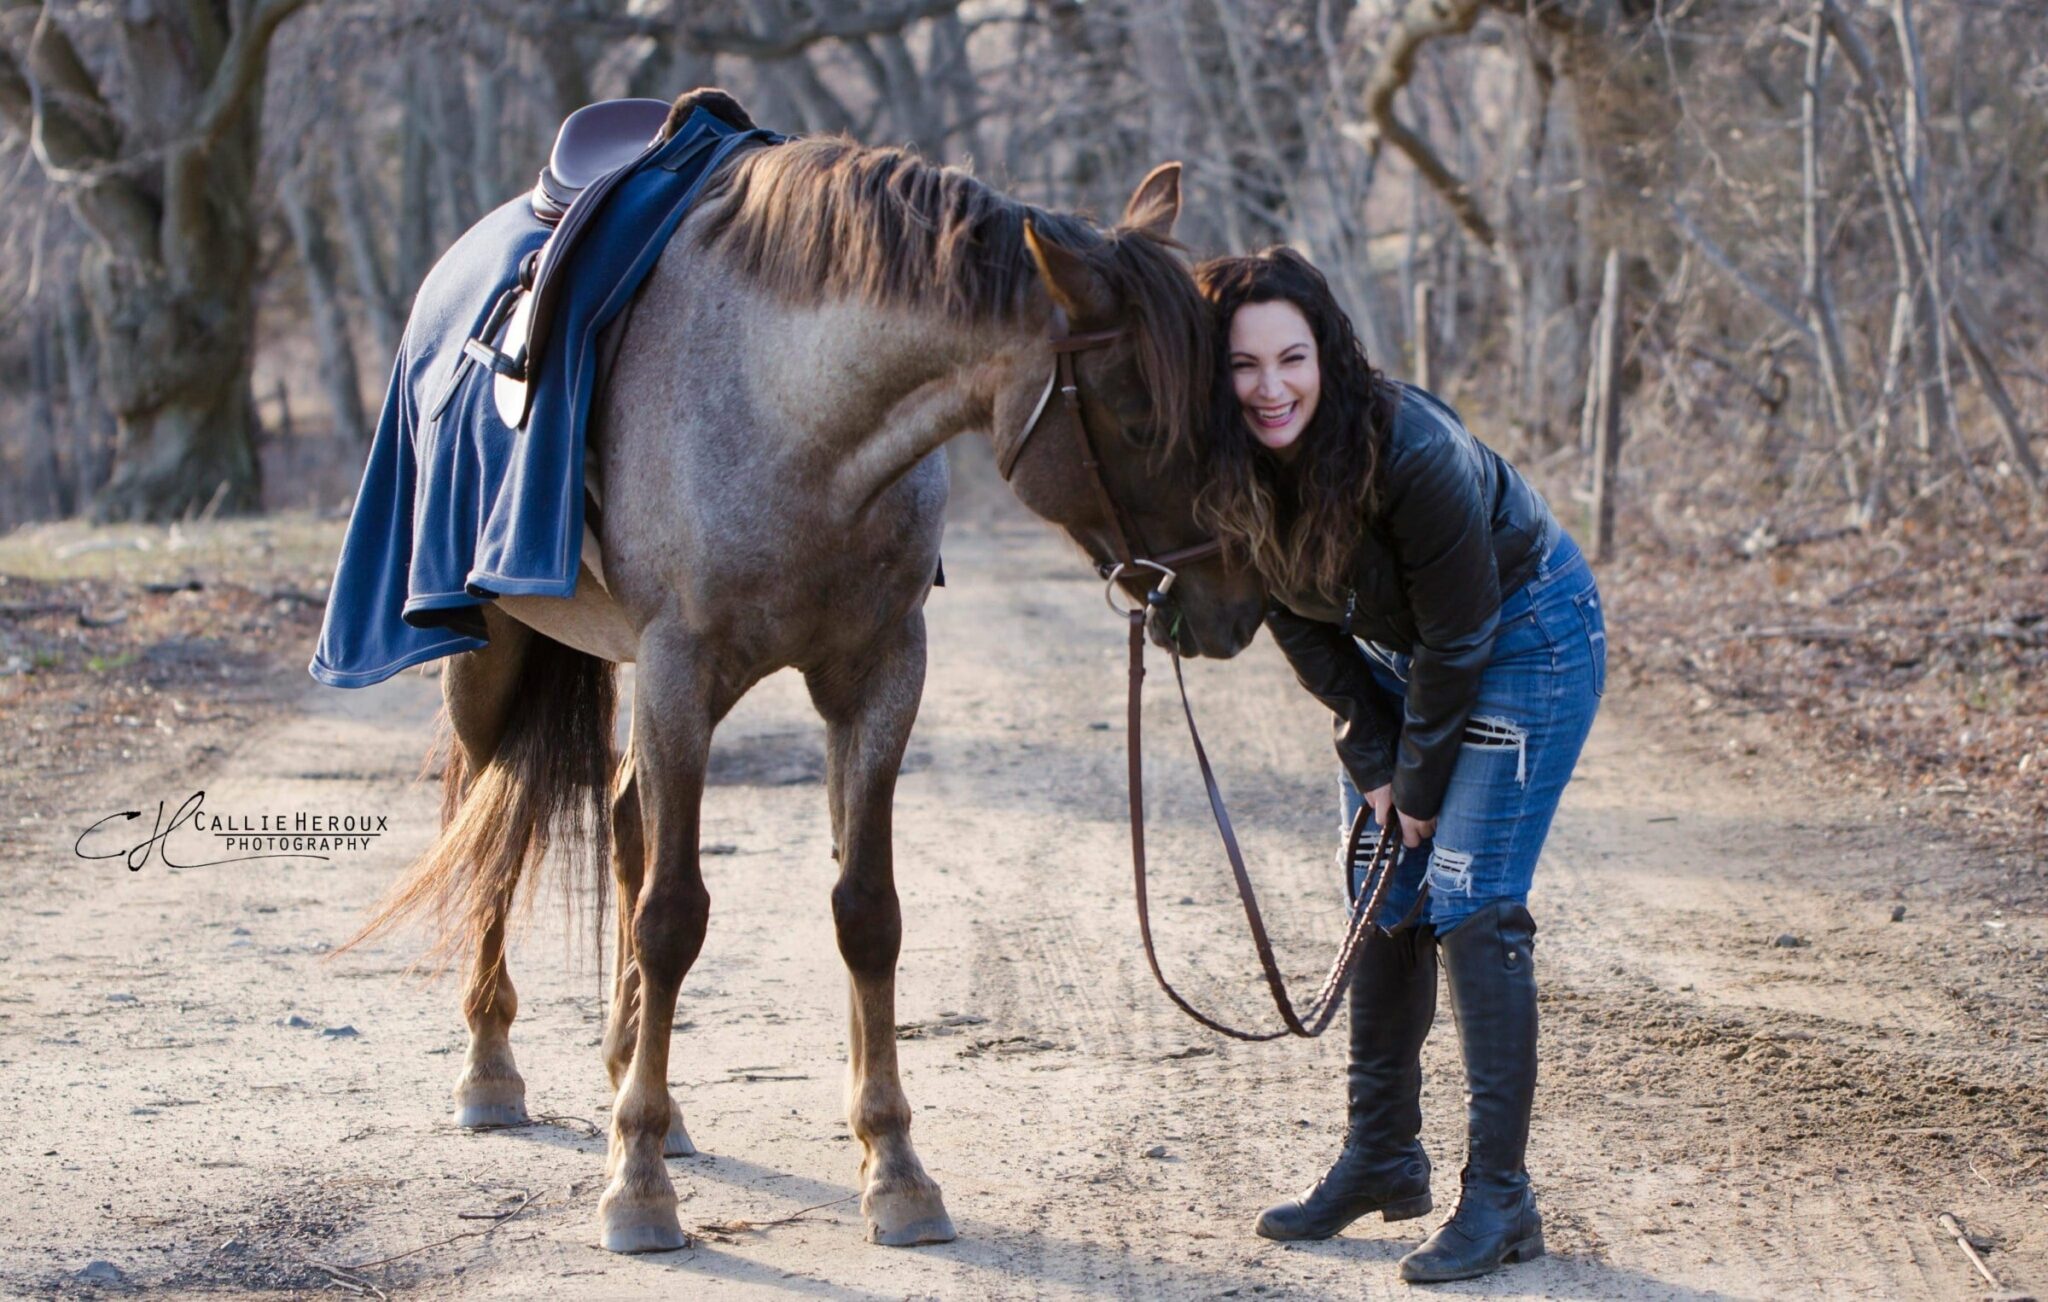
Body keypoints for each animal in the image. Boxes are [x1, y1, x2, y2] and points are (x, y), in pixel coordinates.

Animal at [354, 105, 1266, 1254]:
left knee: (622, 818)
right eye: (1141, 419)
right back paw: (491, 1069)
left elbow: (864, 912)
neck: (793, 412)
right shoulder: (680, 671)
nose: (1236, 602)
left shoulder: (876, 675)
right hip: (496, 661)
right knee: (488, 828)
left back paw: (635, 1084)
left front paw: (895, 1167)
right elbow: (670, 917)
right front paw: (636, 1185)